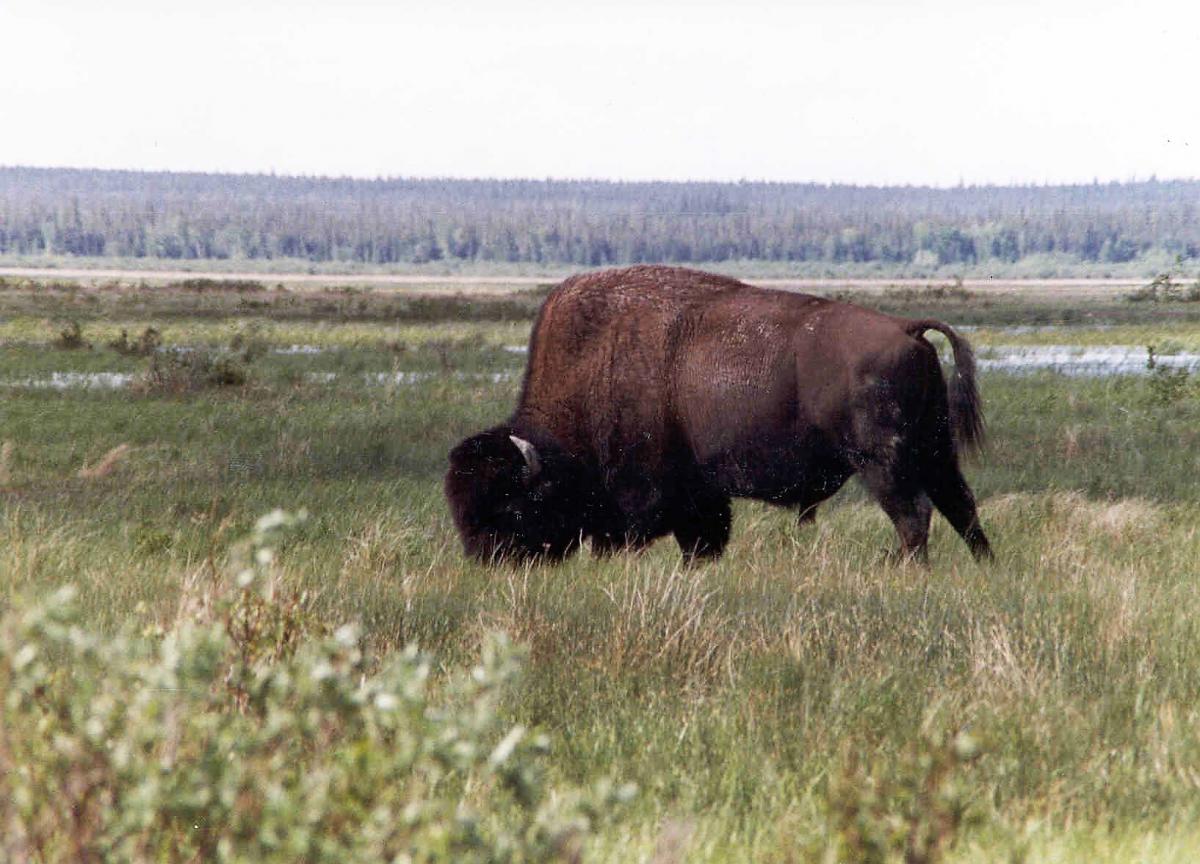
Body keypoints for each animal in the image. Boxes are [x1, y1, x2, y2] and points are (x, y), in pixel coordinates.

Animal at [446, 265, 992, 564]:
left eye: (513, 507)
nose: (490, 562)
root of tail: (904, 328)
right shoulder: (702, 496)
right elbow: (702, 542)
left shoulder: (647, 495)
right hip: (933, 449)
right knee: (960, 505)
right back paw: (986, 566)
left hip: (882, 461)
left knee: (914, 514)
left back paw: (909, 570)